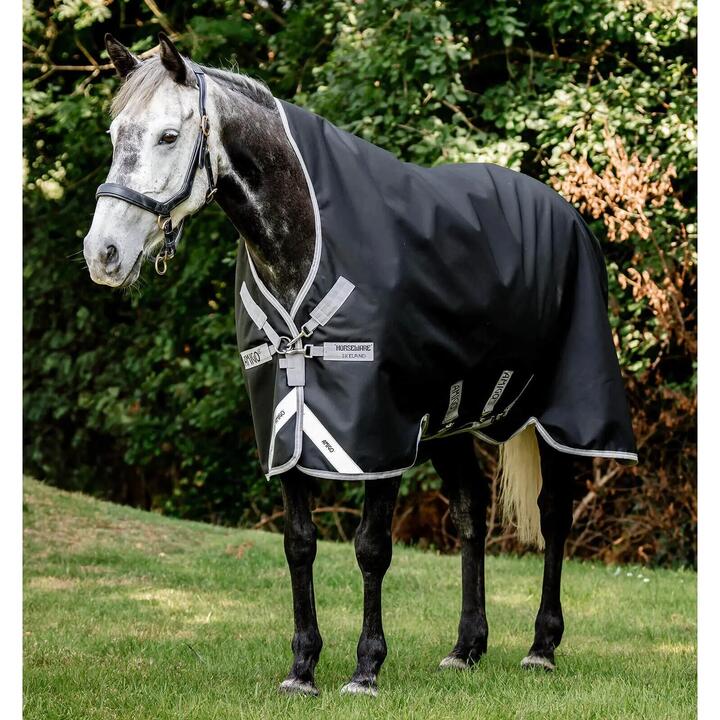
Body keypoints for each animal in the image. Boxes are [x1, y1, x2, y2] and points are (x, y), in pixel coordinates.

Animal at [83, 33, 637, 696]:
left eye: (169, 135)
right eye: (115, 133)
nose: (103, 254)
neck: (304, 242)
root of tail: (564, 211)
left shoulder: (378, 431)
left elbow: (372, 547)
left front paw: (366, 667)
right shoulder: (287, 423)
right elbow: (299, 544)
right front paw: (302, 668)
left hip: (559, 413)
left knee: (553, 515)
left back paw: (541, 647)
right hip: (449, 419)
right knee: (472, 512)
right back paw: (466, 647)